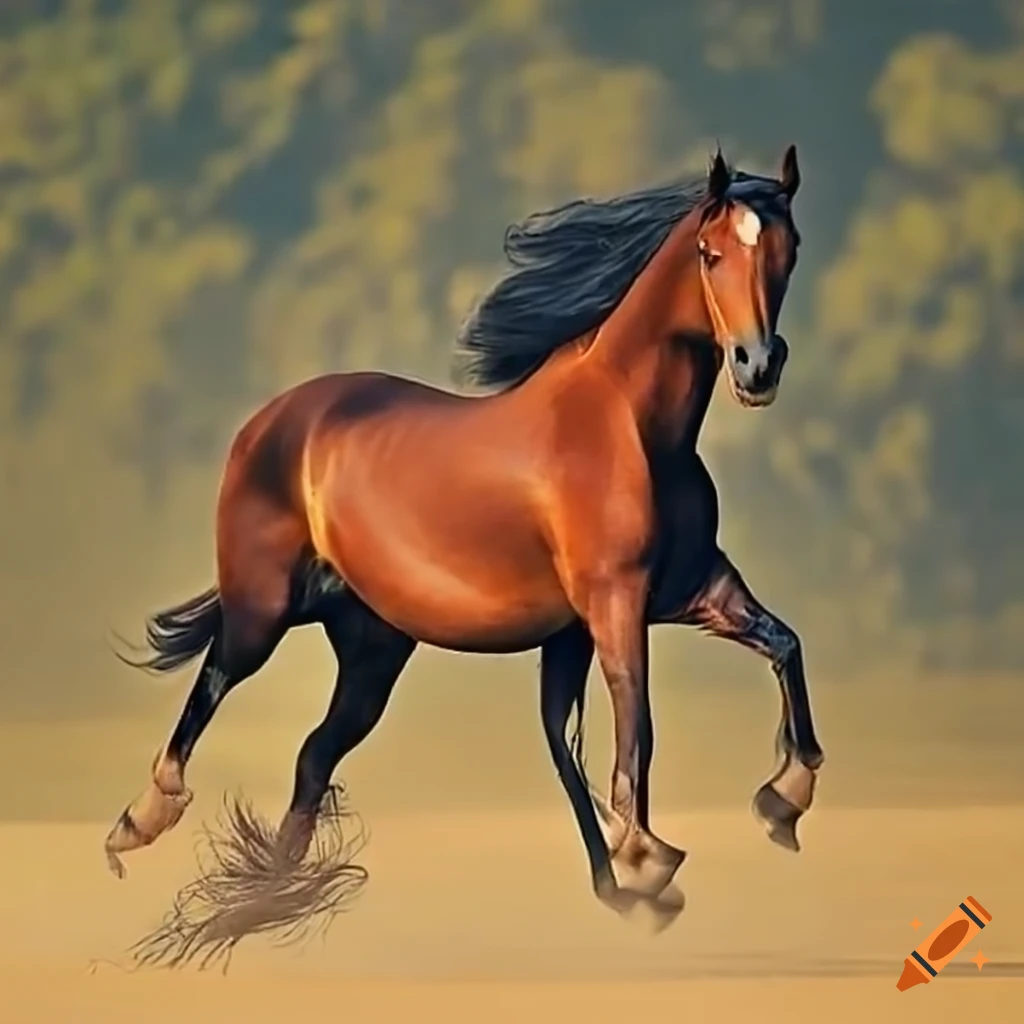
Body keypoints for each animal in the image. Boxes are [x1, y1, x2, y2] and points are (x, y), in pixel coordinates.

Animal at [105, 144, 824, 958]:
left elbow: (780, 648)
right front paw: (645, 859)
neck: (630, 430)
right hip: (265, 608)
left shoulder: (683, 592)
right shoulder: (615, 603)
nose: (756, 365)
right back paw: (141, 823)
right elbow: (632, 724)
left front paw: (778, 803)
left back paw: (263, 899)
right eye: (709, 252)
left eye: (788, 249)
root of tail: (271, 420)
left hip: (374, 645)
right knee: (217, 678)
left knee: (315, 753)